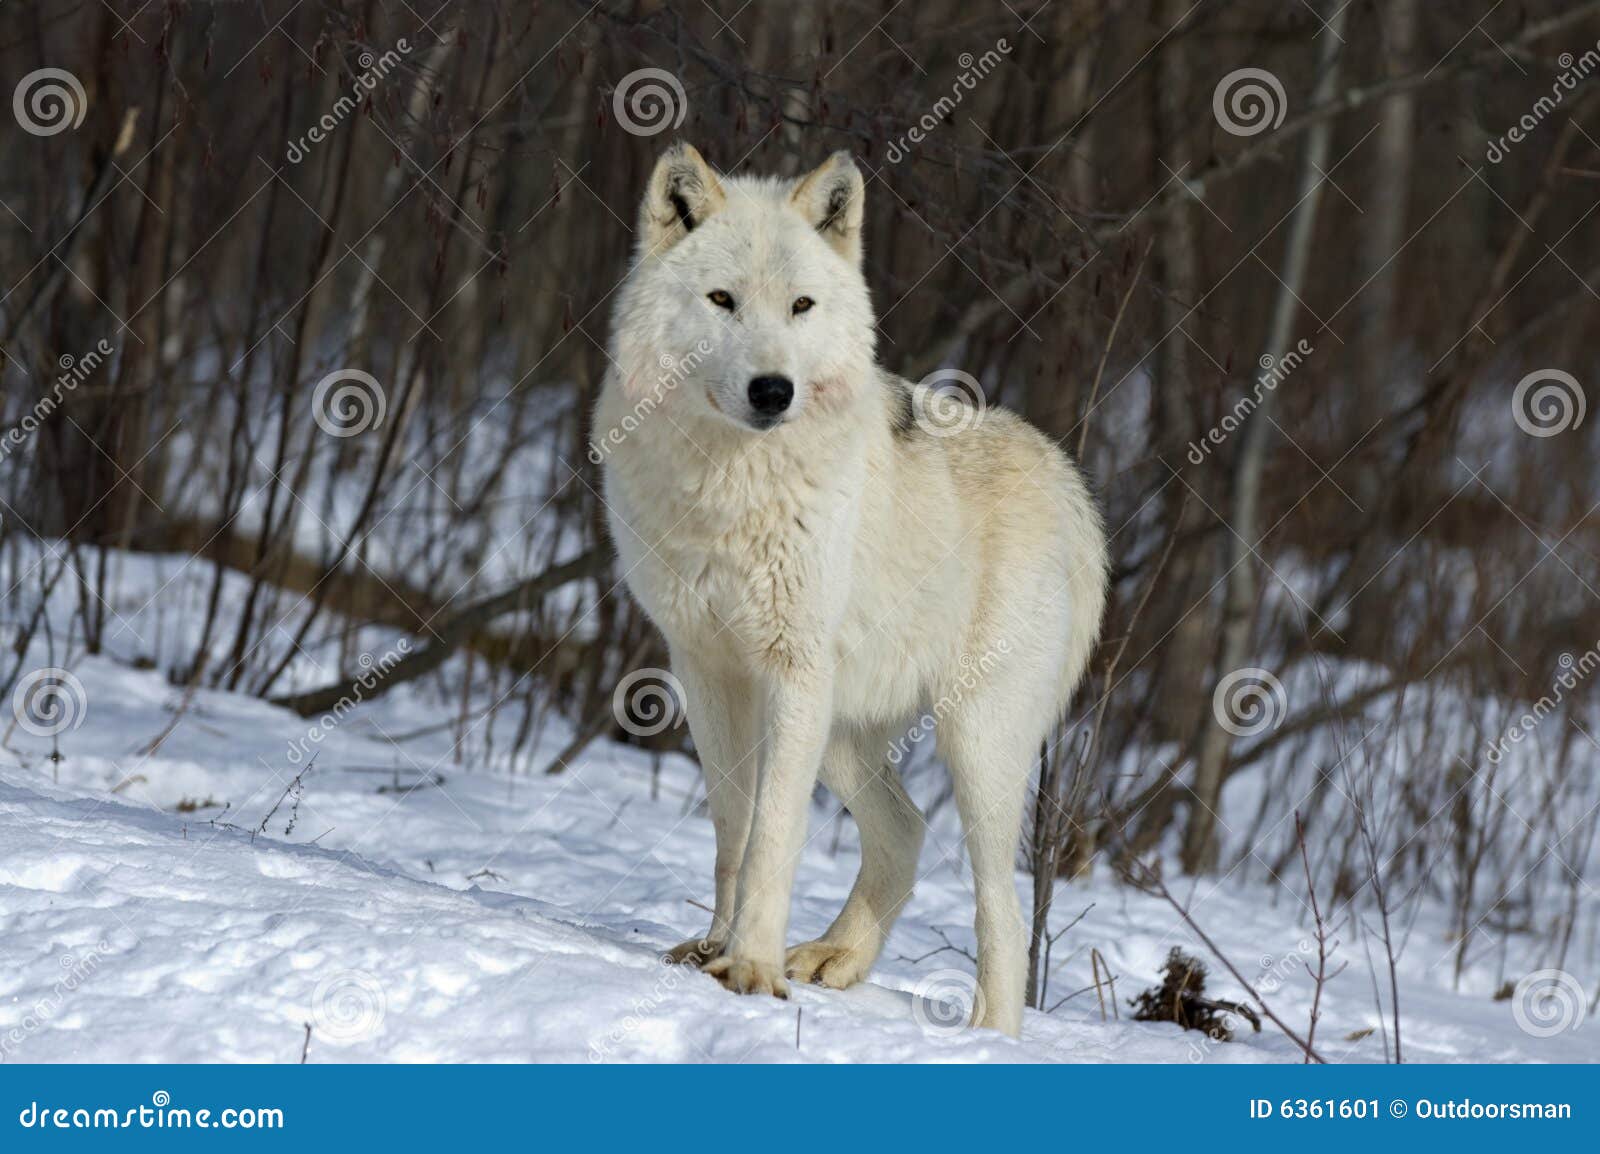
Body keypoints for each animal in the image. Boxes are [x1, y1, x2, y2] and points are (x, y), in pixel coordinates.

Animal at [595, 143, 1108, 1037]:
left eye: (801, 306)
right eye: (723, 300)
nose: (774, 390)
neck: (731, 484)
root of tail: (1071, 488)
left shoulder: (789, 670)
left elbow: (774, 835)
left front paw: (753, 970)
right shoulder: (707, 669)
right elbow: (733, 827)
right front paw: (716, 951)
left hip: (973, 742)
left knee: (1004, 913)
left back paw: (989, 1036)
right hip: (843, 729)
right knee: (905, 832)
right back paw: (836, 957)